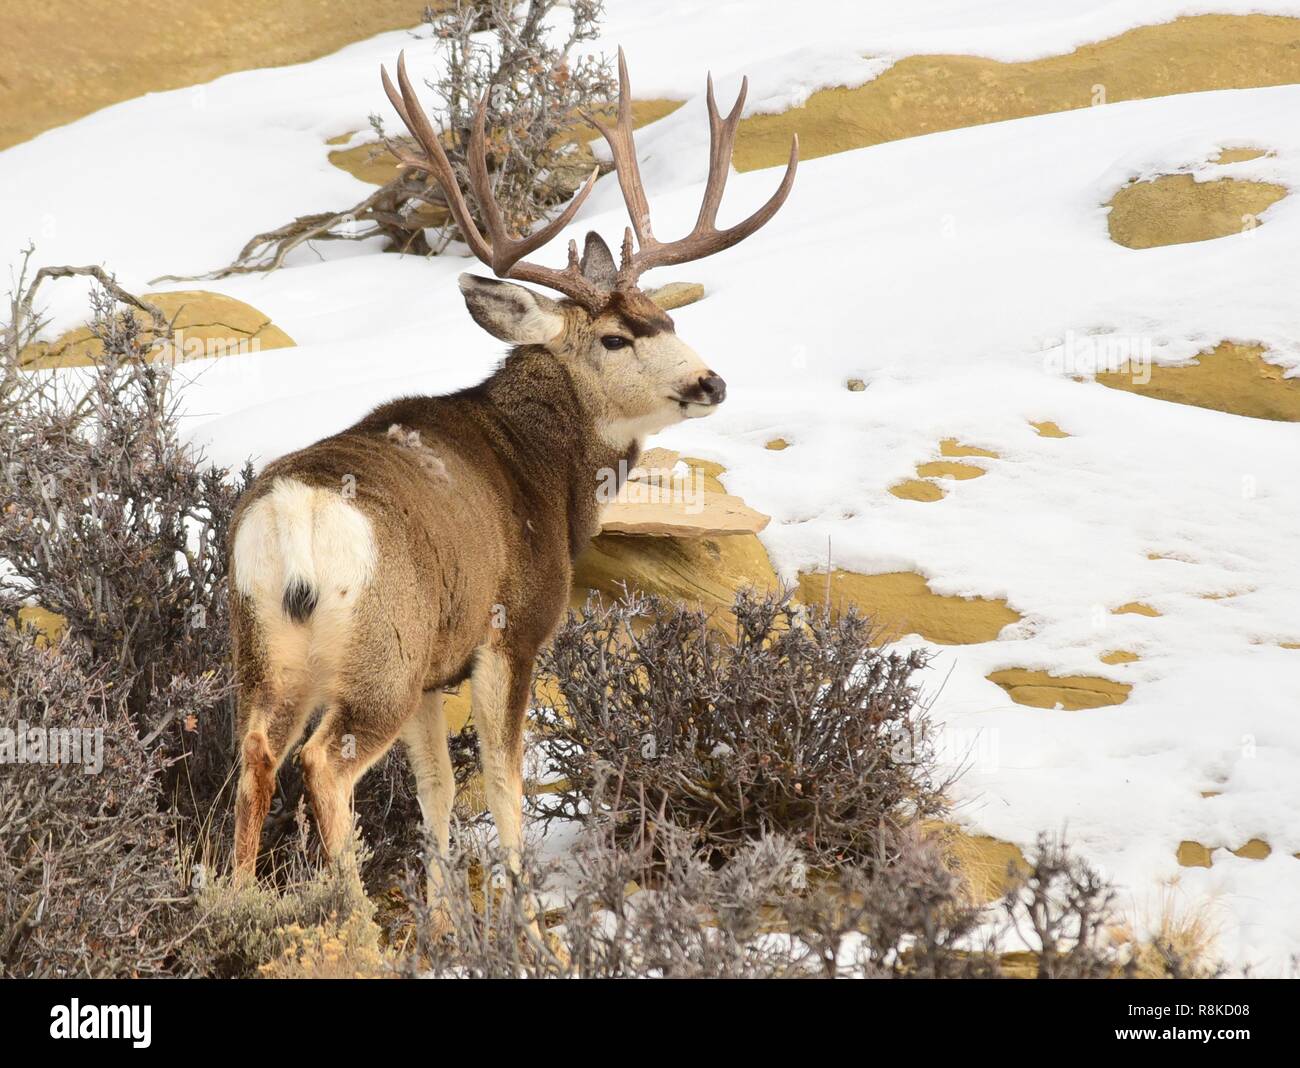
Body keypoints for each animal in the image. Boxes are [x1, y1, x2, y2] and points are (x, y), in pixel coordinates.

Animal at [227, 48, 797, 925]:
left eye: (667, 317)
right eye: (616, 336)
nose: (712, 381)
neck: (542, 470)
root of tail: (297, 515)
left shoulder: (440, 669)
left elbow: (433, 791)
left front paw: (444, 922)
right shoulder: (510, 630)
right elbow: (503, 784)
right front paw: (524, 921)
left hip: (268, 647)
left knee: (255, 753)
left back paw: (228, 904)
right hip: (382, 650)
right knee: (324, 761)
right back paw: (357, 921)